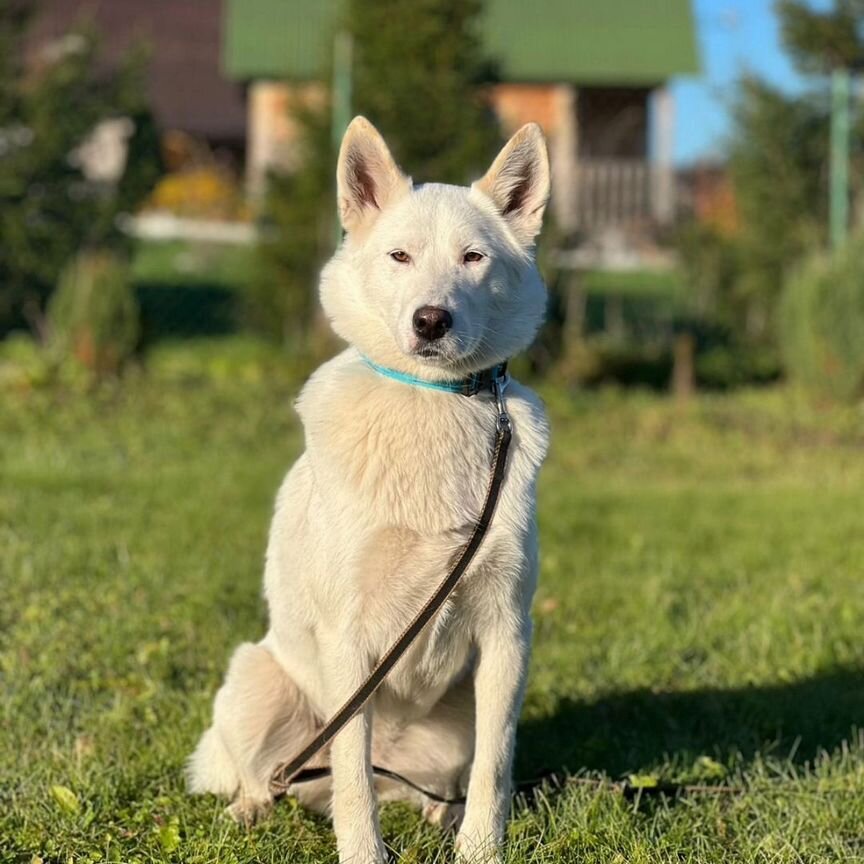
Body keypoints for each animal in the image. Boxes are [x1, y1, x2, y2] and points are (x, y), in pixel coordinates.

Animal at [192, 116, 552, 864]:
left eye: (473, 258)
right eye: (399, 256)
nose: (431, 320)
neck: (432, 403)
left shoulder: (507, 633)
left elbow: (495, 766)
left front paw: (480, 847)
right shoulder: (350, 638)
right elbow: (353, 779)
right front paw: (364, 854)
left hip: (454, 721)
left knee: (421, 784)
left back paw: (440, 814)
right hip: (255, 682)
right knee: (287, 776)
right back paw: (249, 809)